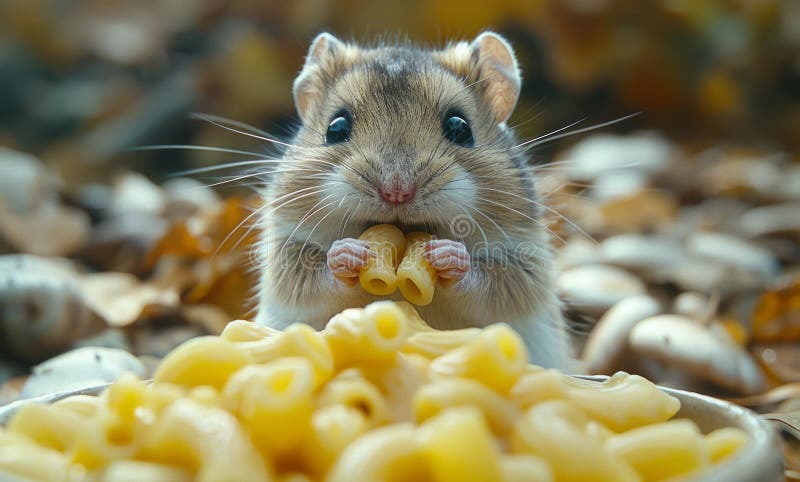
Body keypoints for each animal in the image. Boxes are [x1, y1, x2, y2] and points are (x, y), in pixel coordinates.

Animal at [255, 31, 575, 371]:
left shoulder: (525, 262)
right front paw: (349, 254)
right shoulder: (286, 253)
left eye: (460, 127)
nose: (397, 191)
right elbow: (311, 275)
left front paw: (446, 255)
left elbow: (491, 283)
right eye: (336, 128)